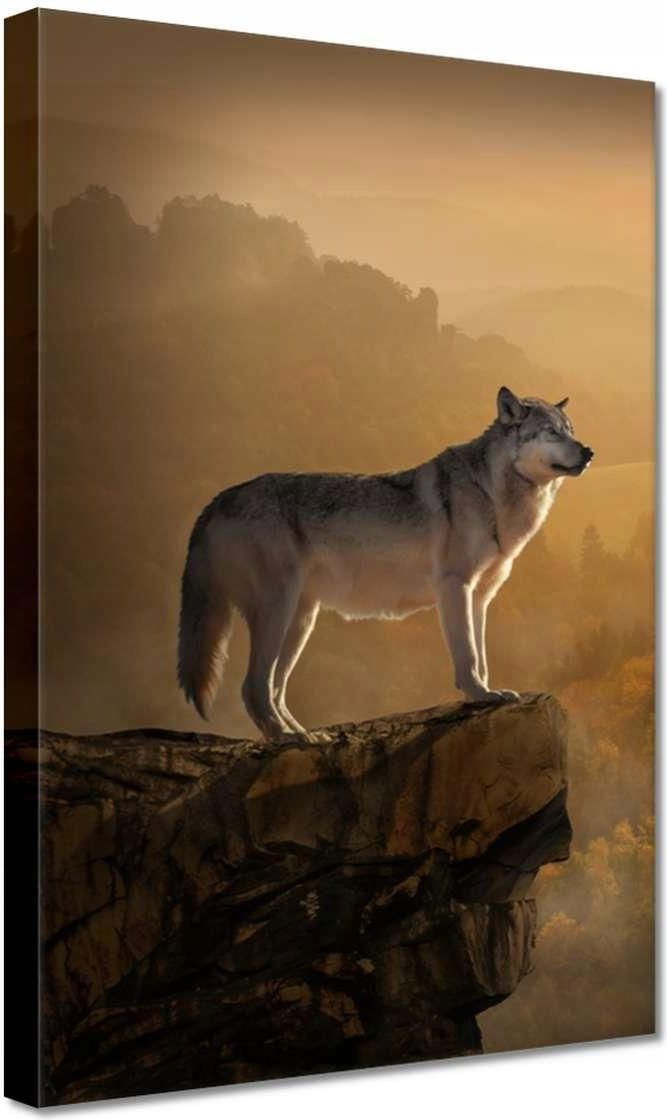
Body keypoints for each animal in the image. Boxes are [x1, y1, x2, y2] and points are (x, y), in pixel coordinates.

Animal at [178, 387, 593, 740]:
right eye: (551, 433)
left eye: (571, 431)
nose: (589, 451)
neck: (490, 492)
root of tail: (218, 499)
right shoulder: (454, 586)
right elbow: (468, 655)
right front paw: (480, 694)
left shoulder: (480, 596)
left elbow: (482, 656)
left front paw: (488, 692)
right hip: (278, 612)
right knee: (253, 687)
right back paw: (287, 738)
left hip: (300, 621)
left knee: (274, 689)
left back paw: (304, 735)